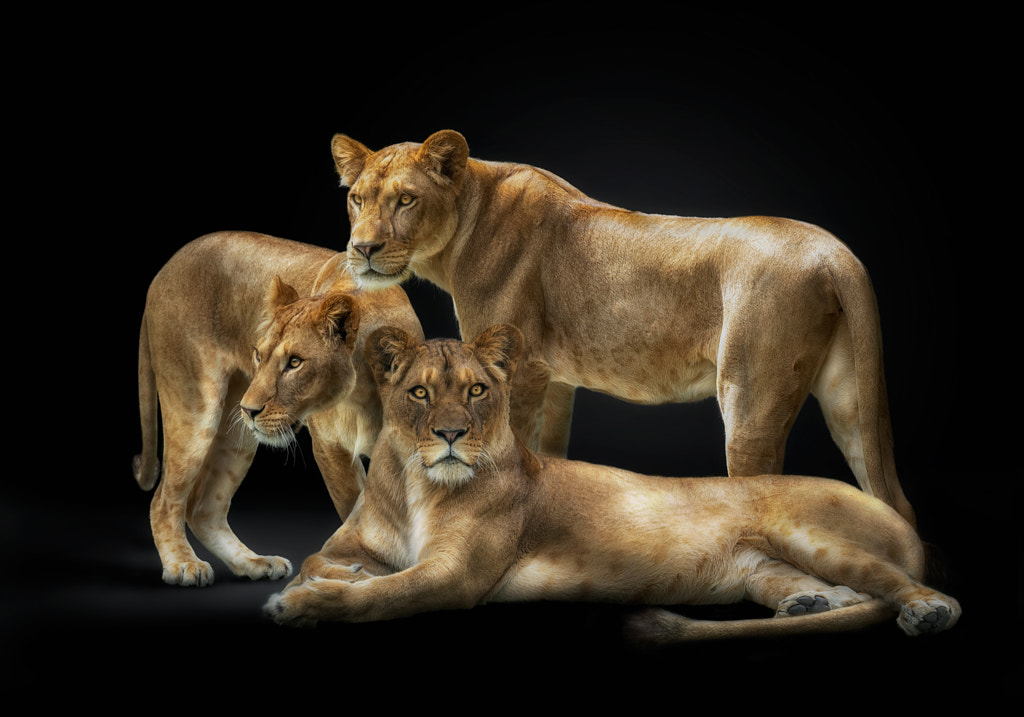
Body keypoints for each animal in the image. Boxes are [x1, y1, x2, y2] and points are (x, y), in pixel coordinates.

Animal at [133, 231, 422, 587]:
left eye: (295, 362)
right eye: (259, 355)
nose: (248, 410)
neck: (364, 390)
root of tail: (165, 269)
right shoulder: (331, 449)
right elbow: (356, 510)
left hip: (236, 437)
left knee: (203, 508)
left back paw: (255, 563)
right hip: (196, 408)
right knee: (164, 500)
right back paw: (183, 564)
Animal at [262, 324, 959, 642]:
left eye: (478, 391)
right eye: (419, 394)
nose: (452, 434)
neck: (414, 488)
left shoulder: (455, 576)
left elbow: (381, 594)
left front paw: (305, 602)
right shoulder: (357, 540)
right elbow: (323, 557)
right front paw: (331, 575)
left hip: (815, 534)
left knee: (902, 584)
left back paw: (927, 611)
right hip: (763, 567)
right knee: (833, 589)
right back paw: (812, 603)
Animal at [330, 130, 916, 527]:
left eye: (406, 199)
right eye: (356, 198)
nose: (363, 248)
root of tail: (836, 253)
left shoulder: (514, 371)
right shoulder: (554, 379)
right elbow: (549, 455)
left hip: (750, 400)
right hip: (849, 397)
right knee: (891, 498)